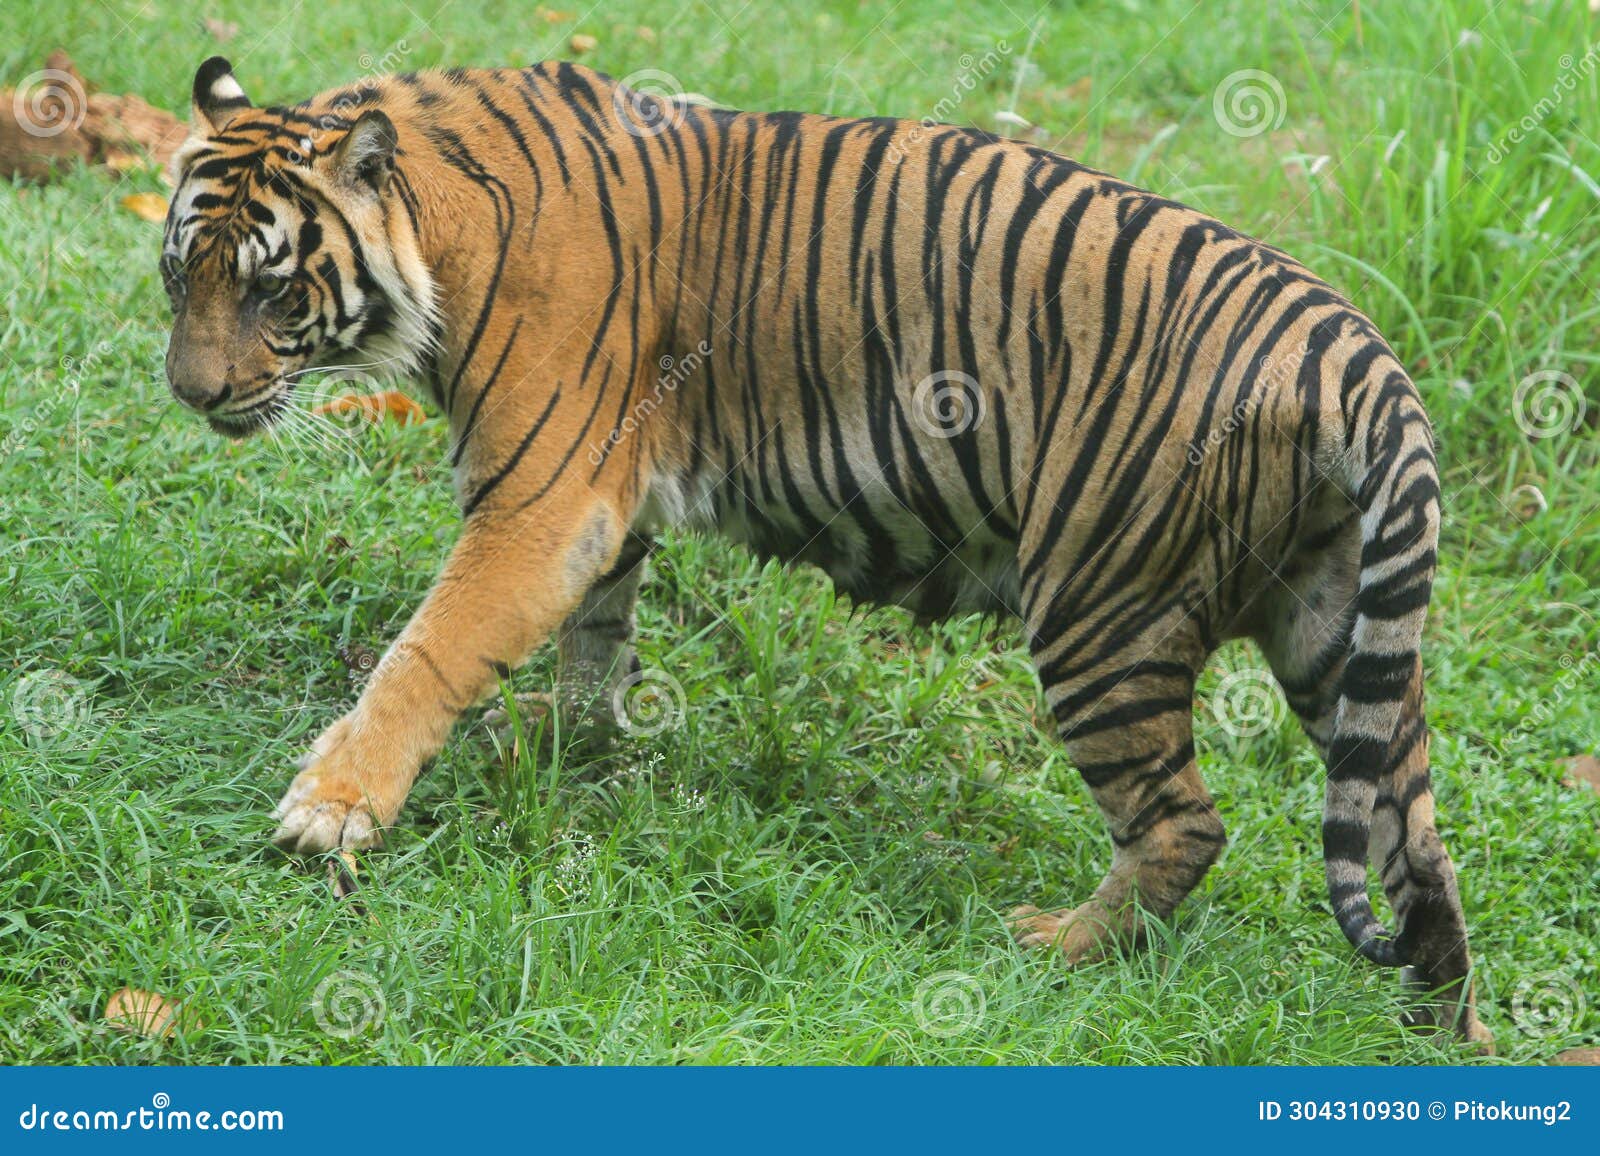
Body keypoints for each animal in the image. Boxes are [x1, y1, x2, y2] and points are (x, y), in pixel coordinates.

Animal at [159, 55, 1489, 1046]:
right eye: (180, 278)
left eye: (273, 293)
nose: (190, 391)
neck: (444, 230)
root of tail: (1355, 351)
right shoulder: (599, 503)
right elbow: (599, 629)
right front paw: (572, 733)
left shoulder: (538, 500)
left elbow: (430, 651)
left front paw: (331, 810)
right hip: (1334, 630)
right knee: (1414, 837)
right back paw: (1446, 1029)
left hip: (1101, 606)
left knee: (1185, 824)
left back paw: (1057, 946)